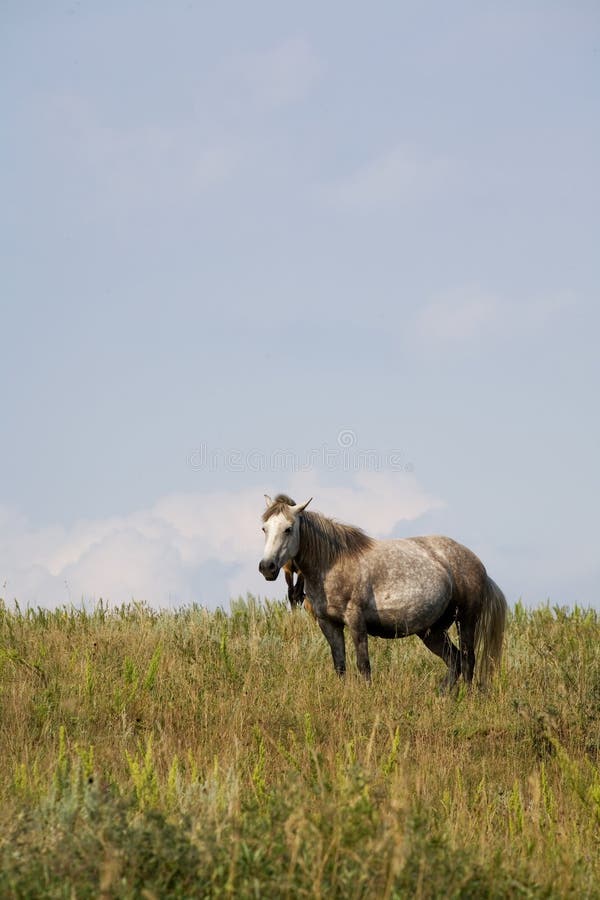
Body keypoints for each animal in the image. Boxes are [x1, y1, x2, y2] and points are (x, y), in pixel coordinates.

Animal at [259, 494, 507, 690]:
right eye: (264, 528)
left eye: (288, 529)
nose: (267, 567)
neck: (332, 563)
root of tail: (476, 563)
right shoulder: (328, 623)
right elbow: (340, 665)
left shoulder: (356, 620)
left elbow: (363, 665)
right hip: (432, 631)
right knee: (454, 661)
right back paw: (444, 697)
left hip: (466, 620)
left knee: (467, 660)